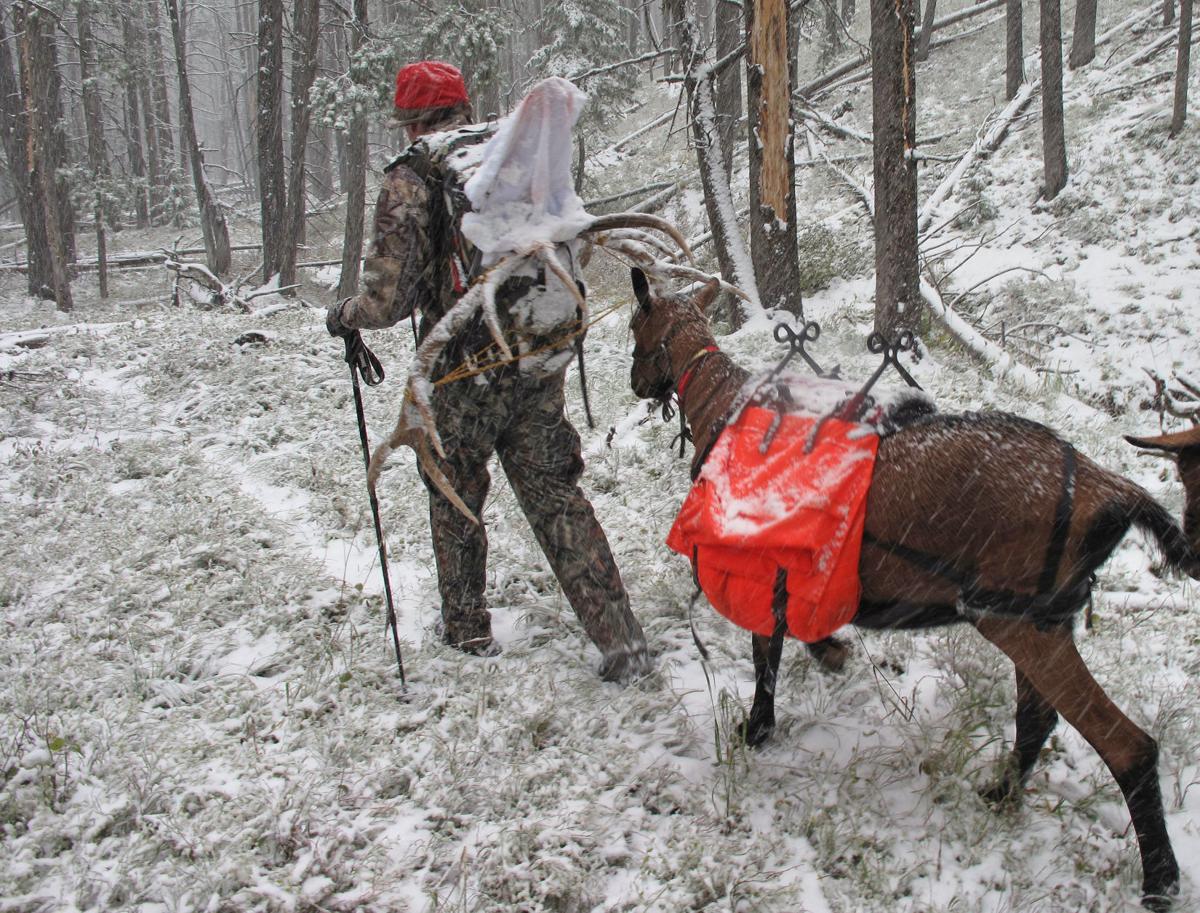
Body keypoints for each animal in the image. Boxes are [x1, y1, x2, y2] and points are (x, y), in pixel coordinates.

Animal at [627, 267, 1200, 911]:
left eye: (633, 327)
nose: (634, 382)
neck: (729, 410)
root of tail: (1106, 488)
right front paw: (825, 655)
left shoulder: (760, 569)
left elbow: (765, 654)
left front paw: (760, 726)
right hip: (1037, 621)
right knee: (1037, 718)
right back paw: (1002, 793)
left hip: (1018, 624)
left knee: (1127, 746)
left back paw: (1160, 880)